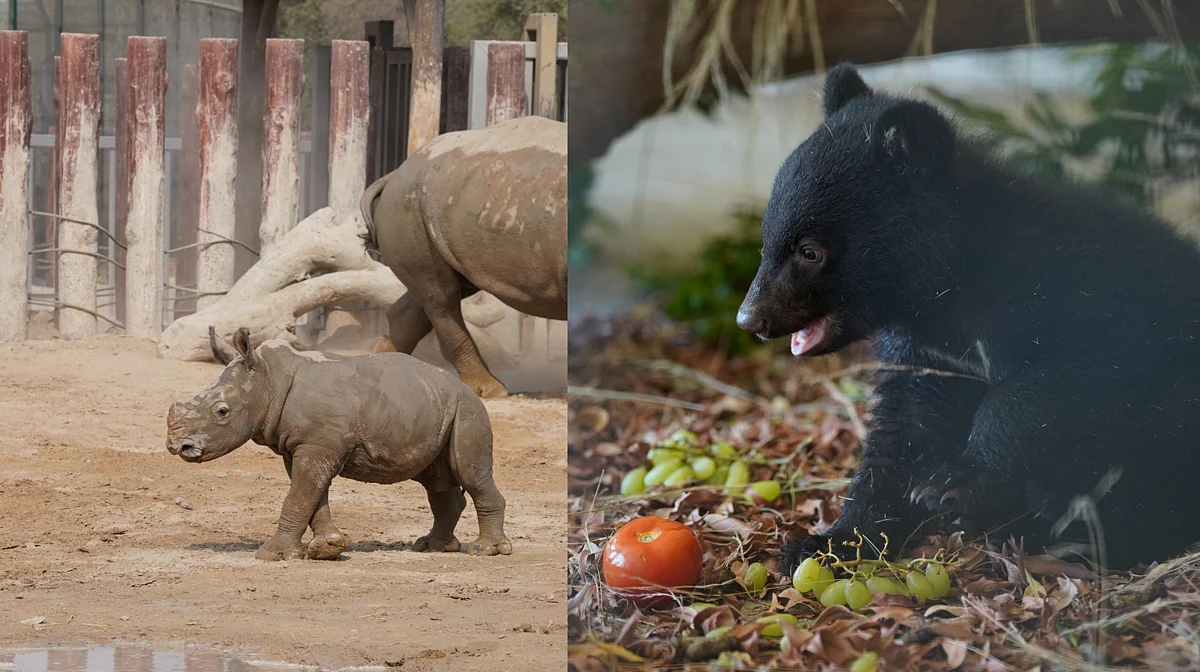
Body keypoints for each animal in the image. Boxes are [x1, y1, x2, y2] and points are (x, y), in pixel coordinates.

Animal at [165, 326, 512, 561]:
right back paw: (432, 547)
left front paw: (270, 554)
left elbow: (299, 495)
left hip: (468, 411)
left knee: (470, 473)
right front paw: (327, 547)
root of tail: (466, 388)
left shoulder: (317, 445)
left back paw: (485, 550)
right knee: (434, 480)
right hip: (433, 405)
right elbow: (311, 494)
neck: (268, 379)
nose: (178, 447)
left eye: (222, 411)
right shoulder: (304, 445)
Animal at [360, 115, 567, 399]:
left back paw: (385, 357)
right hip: (409, 205)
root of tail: (395, 172)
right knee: (441, 295)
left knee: (443, 288)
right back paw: (492, 392)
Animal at [736, 63, 1200, 572]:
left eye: (810, 251)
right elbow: (906, 428)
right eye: (767, 240)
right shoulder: (927, 350)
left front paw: (955, 482)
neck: (951, 287)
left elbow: (1061, 381)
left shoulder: (1088, 306)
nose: (750, 318)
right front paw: (830, 543)